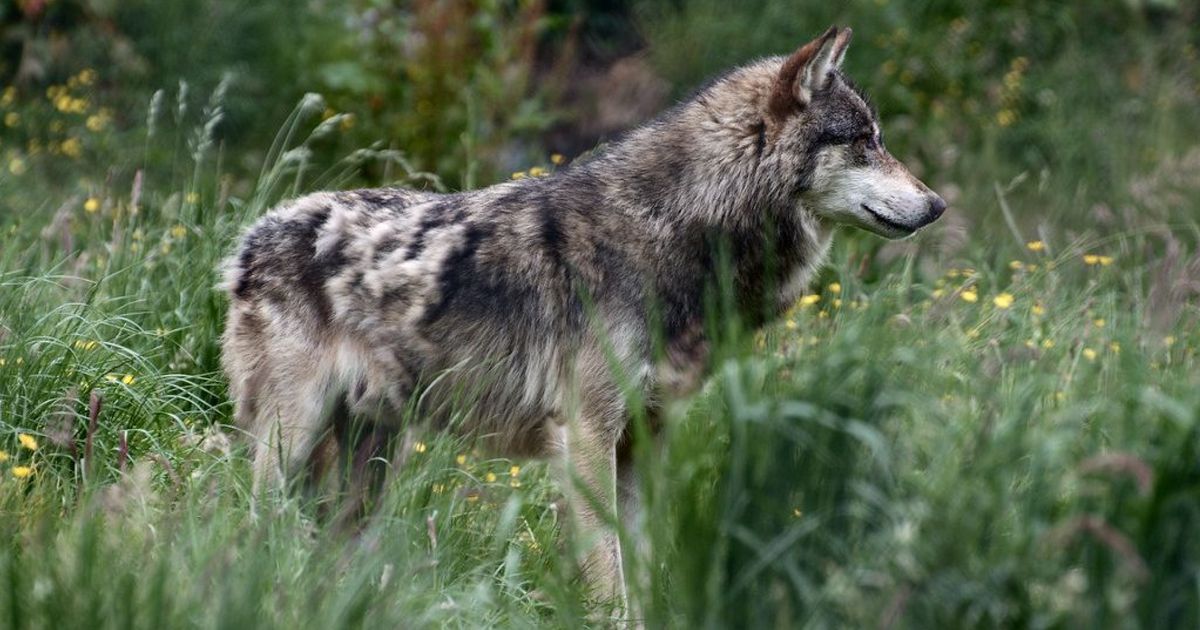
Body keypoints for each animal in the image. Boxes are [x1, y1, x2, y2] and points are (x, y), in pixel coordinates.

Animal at [221, 25, 944, 610]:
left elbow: (644, 569)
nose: (937, 205)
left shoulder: (647, 441)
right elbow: (609, 577)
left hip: (368, 462)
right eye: (865, 142)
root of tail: (252, 235)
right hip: (296, 439)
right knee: (254, 525)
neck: (679, 231)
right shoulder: (587, 436)